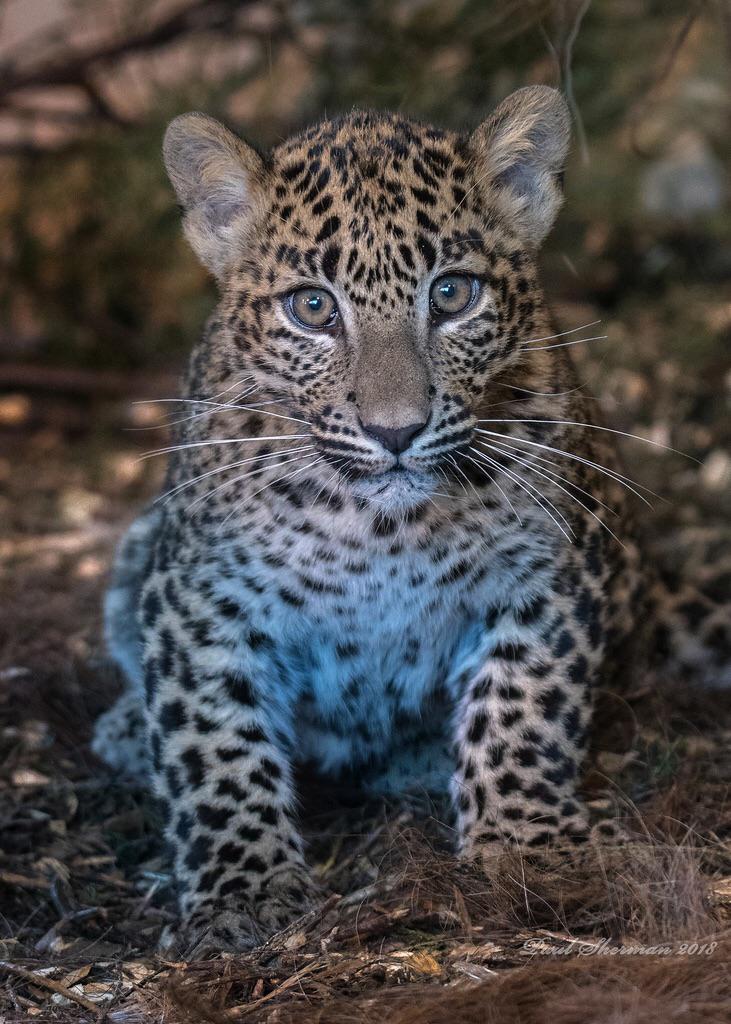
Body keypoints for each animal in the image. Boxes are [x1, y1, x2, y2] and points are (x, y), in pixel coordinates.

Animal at [91, 86, 730, 955]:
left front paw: (528, 846)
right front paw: (246, 886)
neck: (378, 531)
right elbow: (213, 743)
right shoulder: (199, 596)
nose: (395, 432)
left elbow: (521, 706)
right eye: (312, 308)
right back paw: (127, 729)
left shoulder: (556, 568)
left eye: (452, 295)